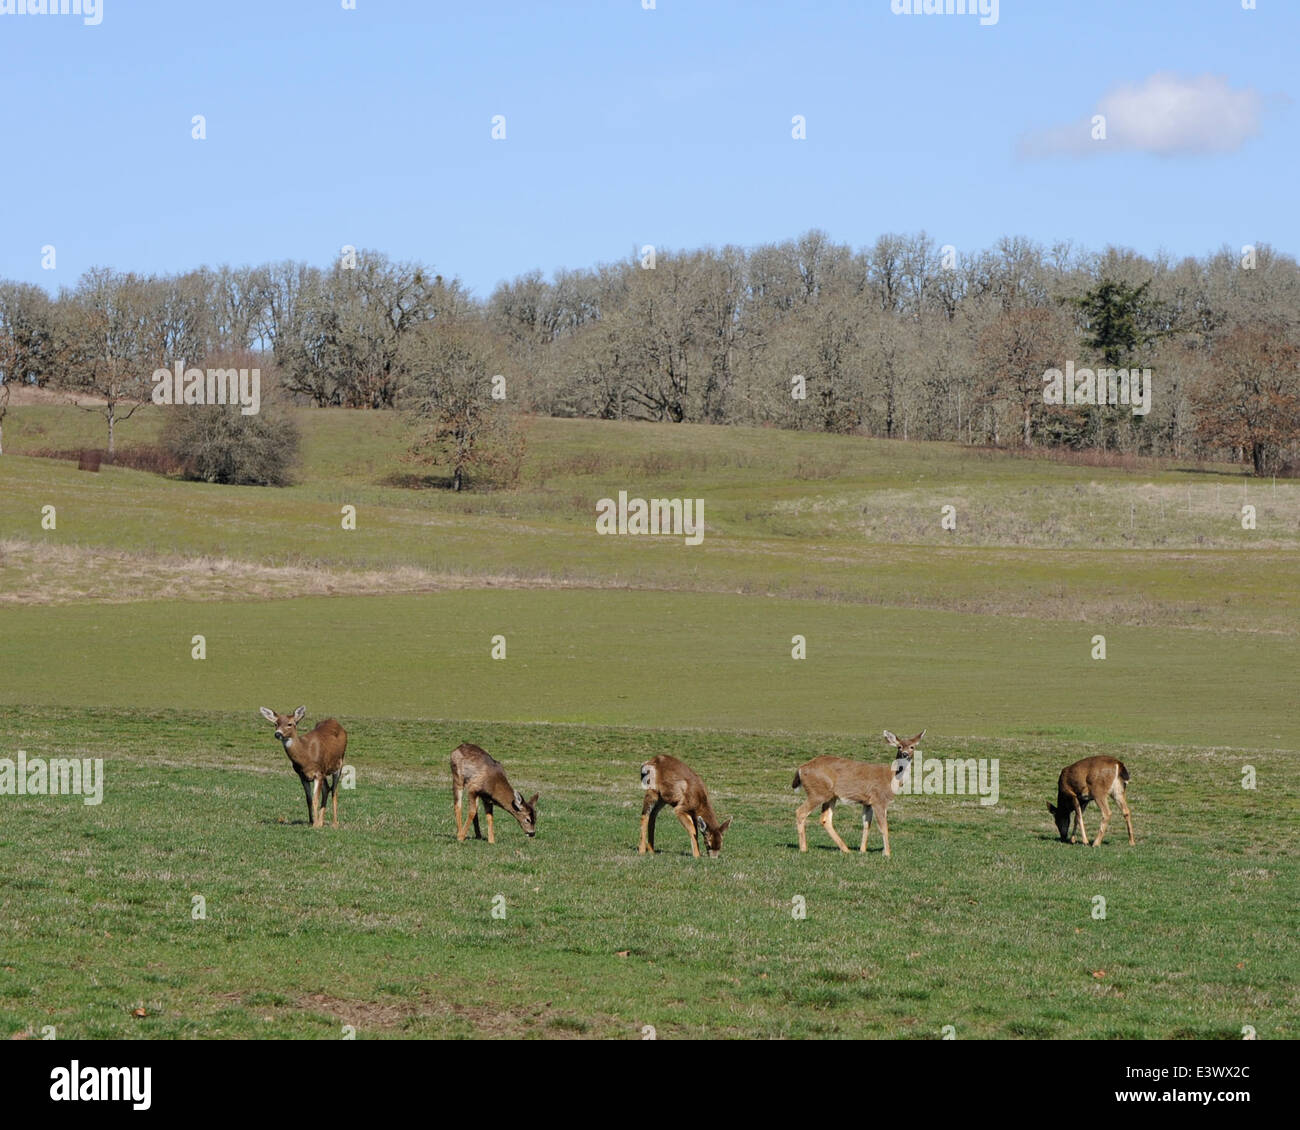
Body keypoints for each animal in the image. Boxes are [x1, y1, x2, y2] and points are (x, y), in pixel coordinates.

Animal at [792, 729, 924, 856]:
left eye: (912, 746)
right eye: (899, 746)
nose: (905, 754)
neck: (892, 777)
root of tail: (800, 769)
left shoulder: (867, 802)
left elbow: (866, 825)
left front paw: (862, 850)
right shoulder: (879, 799)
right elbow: (883, 827)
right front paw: (887, 853)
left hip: (831, 796)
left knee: (825, 819)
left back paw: (846, 849)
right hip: (817, 793)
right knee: (800, 812)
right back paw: (803, 848)